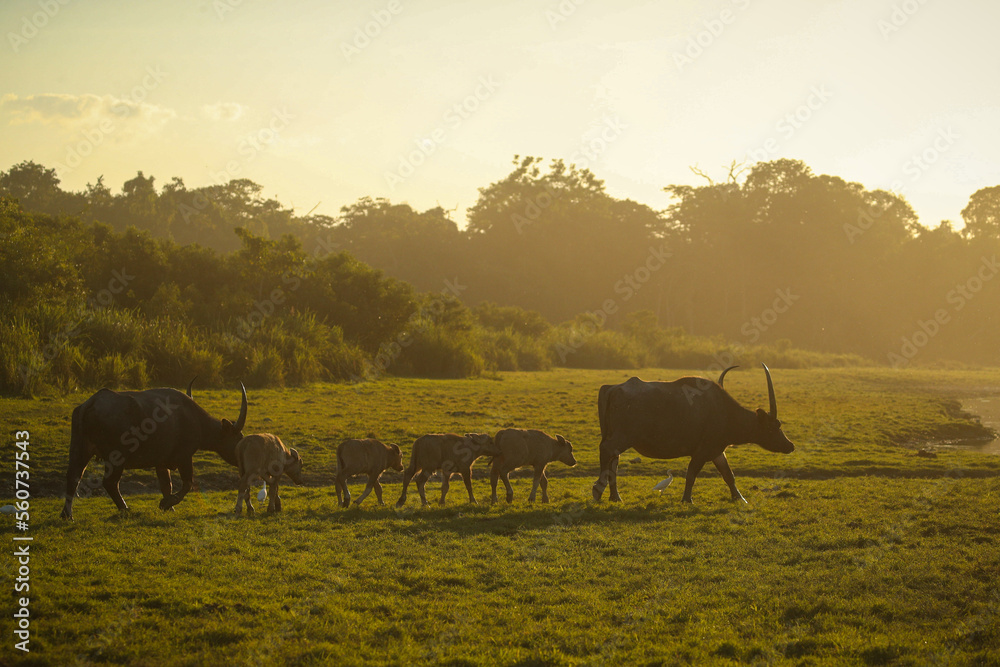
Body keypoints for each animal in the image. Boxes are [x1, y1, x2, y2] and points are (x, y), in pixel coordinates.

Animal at [60, 383, 248, 519]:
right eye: (238, 437)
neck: (195, 420)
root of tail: (91, 403)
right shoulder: (185, 456)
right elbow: (187, 483)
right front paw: (166, 503)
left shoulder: (161, 462)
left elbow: (166, 484)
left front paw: (169, 507)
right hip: (116, 457)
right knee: (109, 482)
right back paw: (125, 509)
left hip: (79, 448)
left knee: (73, 477)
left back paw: (67, 514)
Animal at [593, 364, 794, 503]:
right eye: (773, 426)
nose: (790, 445)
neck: (724, 410)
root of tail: (612, 388)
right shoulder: (702, 452)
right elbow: (691, 474)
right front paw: (687, 499)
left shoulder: (717, 451)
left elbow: (729, 475)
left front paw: (740, 498)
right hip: (622, 438)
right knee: (607, 451)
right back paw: (597, 490)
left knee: (613, 461)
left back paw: (615, 497)